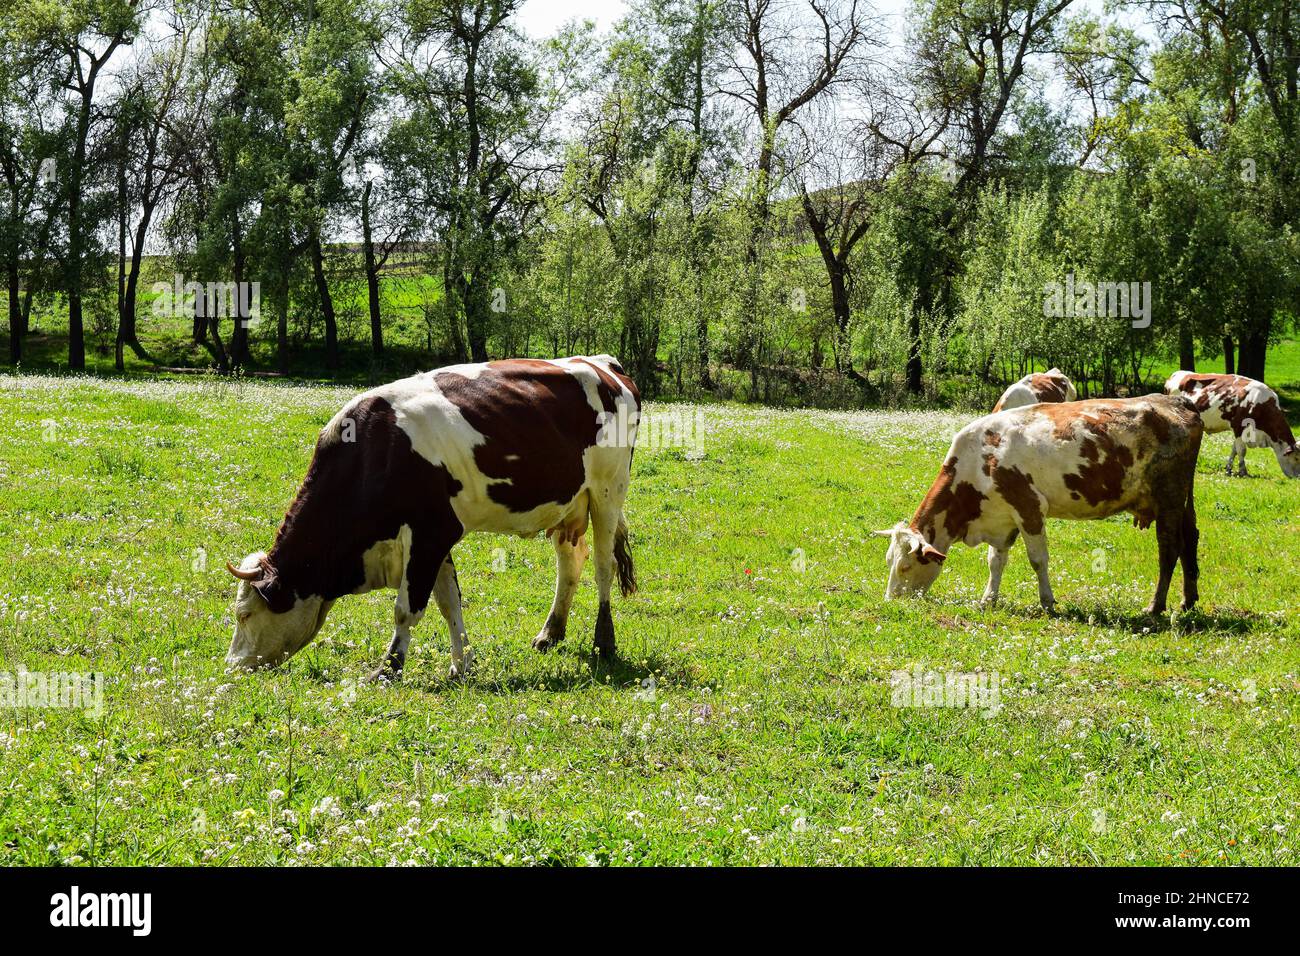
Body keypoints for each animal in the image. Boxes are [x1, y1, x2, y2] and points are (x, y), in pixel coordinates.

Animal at [224, 355, 641, 681]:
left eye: (244, 614)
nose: (232, 666)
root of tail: (603, 364)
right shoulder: (435, 537)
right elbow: (449, 602)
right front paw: (463, 665)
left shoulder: (429, 534)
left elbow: (407, 609)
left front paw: (389, 669)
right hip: (570, 504)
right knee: (570, 563)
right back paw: (550, 633)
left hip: (608, 492)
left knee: (603, 567)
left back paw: (604, 642)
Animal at [874, 394, 1203, 615]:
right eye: (889, 562)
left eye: (905, 566)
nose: (890, 601)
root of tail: (1176, 400)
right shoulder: (1002, 517)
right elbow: (996, 561)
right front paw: (988, 599)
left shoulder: (1028, 508)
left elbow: (1038, 560)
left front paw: (1047, 602)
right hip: (1183, 499)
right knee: (1189, 540)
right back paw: (1187, 601)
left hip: (1169, 497)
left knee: (1169, 547)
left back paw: (1156, 606)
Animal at [1164, 370, 1300, 478]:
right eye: (1296, 458)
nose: (1297, 477)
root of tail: (1175, 374)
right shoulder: (1239, 426)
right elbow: (1241, 451)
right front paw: (1243, 472)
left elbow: (1234, 450)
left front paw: (1228, 470)